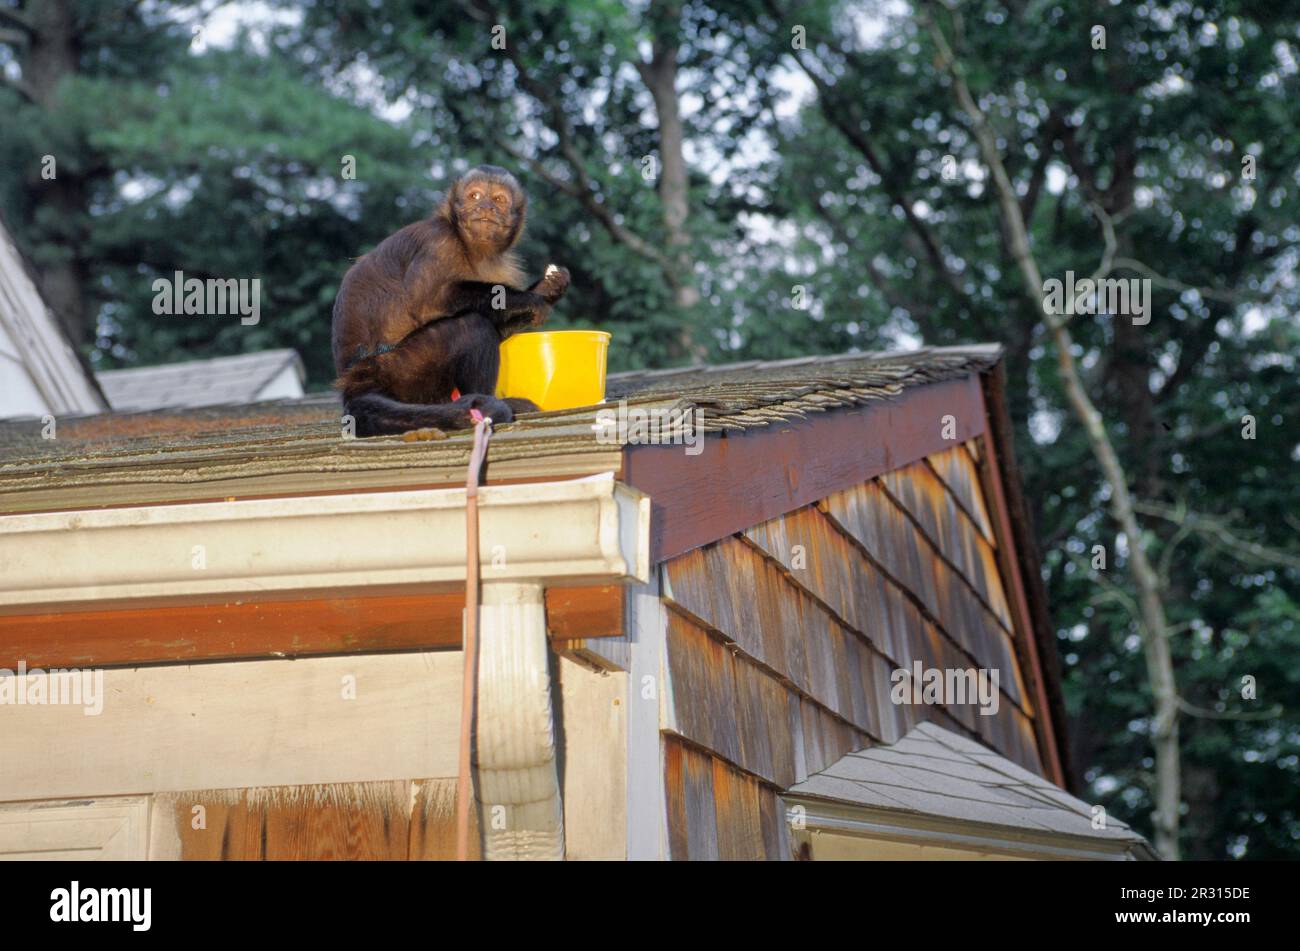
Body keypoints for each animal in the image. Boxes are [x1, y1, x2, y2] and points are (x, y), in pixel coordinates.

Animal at [331, 164, 571, 436]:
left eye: (499, 200)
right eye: (475, 196)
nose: (486, 207)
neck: (471, 248)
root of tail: (356, 381)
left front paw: (548, 288)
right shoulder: (439, 242)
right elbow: (427, 300)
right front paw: (531, 299)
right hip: (401, 369)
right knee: (471, 325)